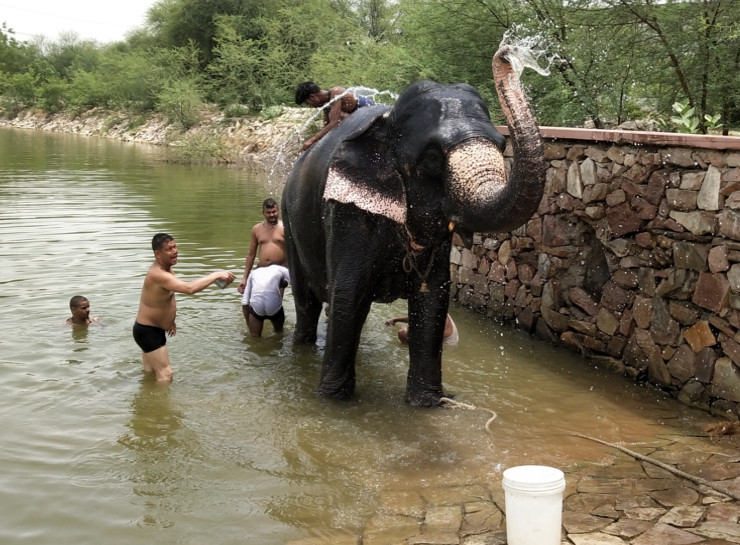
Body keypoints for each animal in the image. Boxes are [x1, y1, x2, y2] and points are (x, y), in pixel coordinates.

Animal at [281, 45, 547, 406]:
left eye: (502, 145)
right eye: (432, 158)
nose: (508, 52)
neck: (385, 127)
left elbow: (433, 300)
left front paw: (428, 405)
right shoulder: (346, 213)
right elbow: (348, 294)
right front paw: (332, 402)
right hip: (289, 219)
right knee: (307, 303)